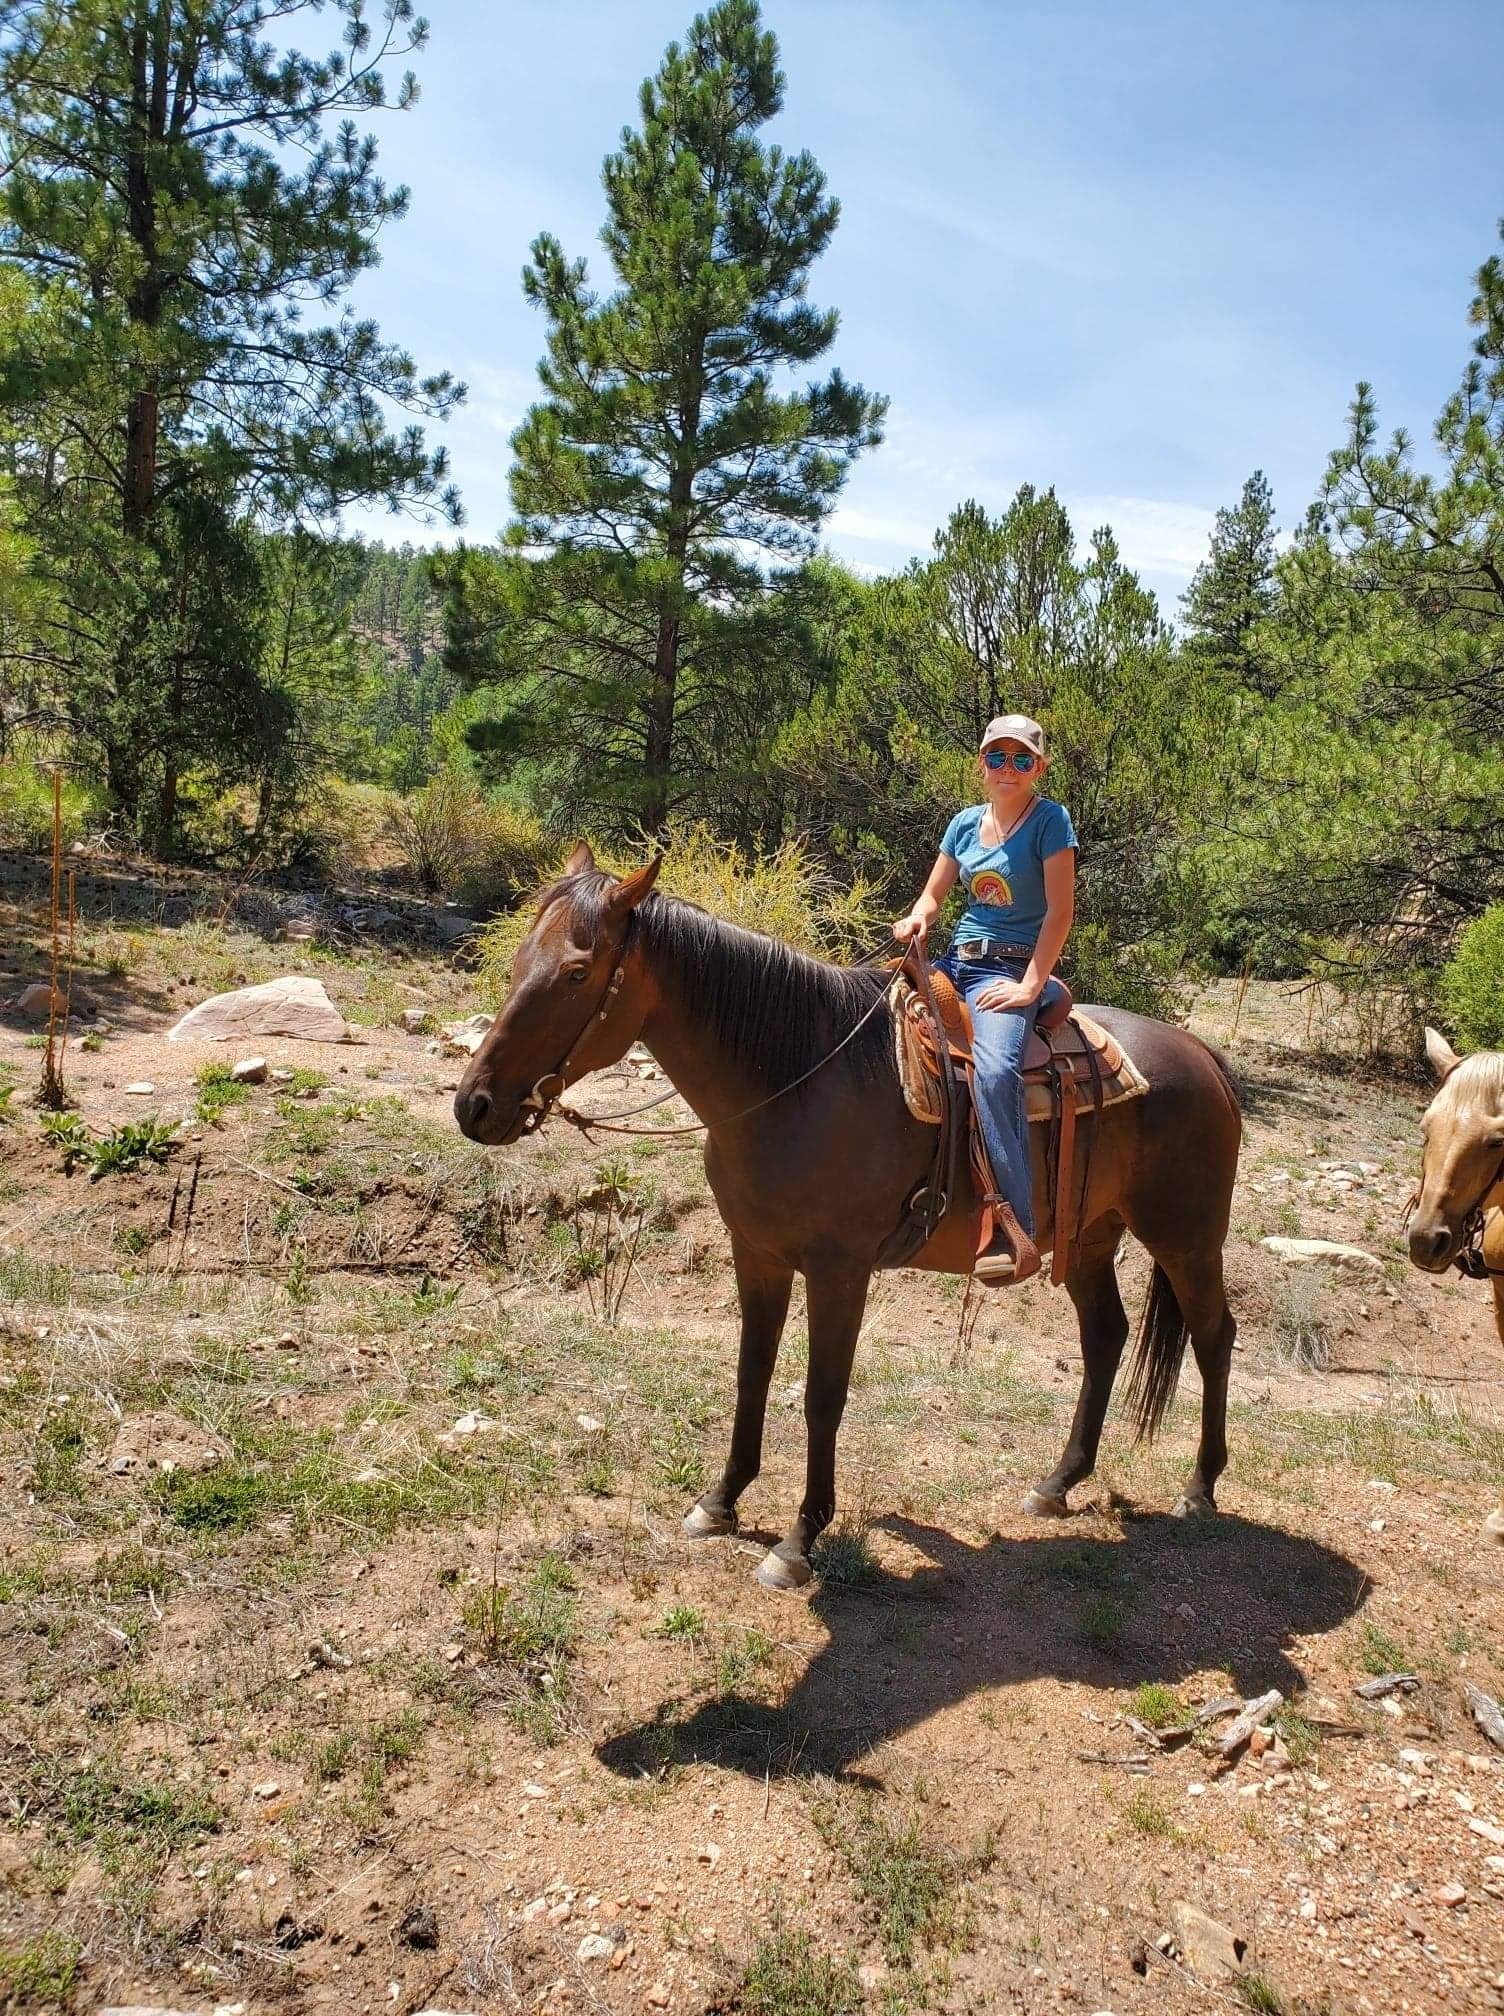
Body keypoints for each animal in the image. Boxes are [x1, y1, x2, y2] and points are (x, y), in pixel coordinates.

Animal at [453, 846, 1244, 1593]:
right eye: (521, 958)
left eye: (577, 973)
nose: (474, 1106)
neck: (793, 1079)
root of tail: (1202, 1053)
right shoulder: (757, 1254)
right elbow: (751, 1373)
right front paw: (721, 1502)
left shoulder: (840, 1271)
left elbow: (822, 1395)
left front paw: (799, 1541)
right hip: (1088, 1236)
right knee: (1106, 1335)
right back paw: (1058, 1484)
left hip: (1186, 1237)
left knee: (1213, 1336)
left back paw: (1200, 1487)